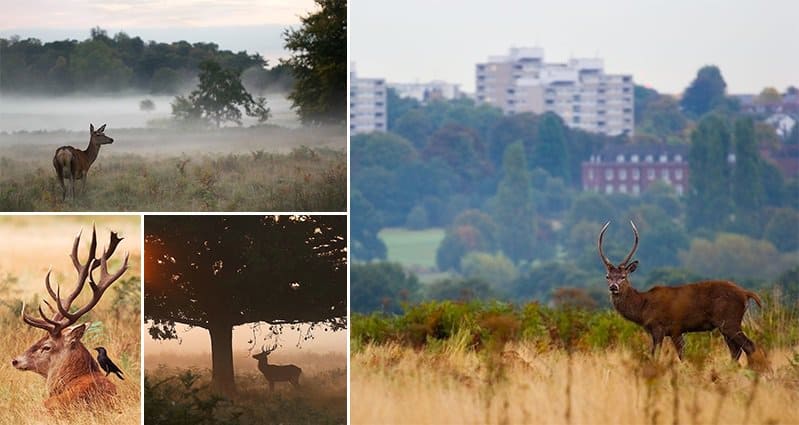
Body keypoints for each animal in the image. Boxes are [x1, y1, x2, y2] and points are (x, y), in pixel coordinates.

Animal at [598, 221, 764, 366]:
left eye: (623, 276)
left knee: (749, 346)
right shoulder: (675, 331)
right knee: (736, 351)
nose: (613, 287)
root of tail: (745, 293)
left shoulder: (660, 327)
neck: (643, 309)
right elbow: (681, 355)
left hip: (730, 321)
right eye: (607, 276)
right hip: (726, 325)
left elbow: (656, 356)